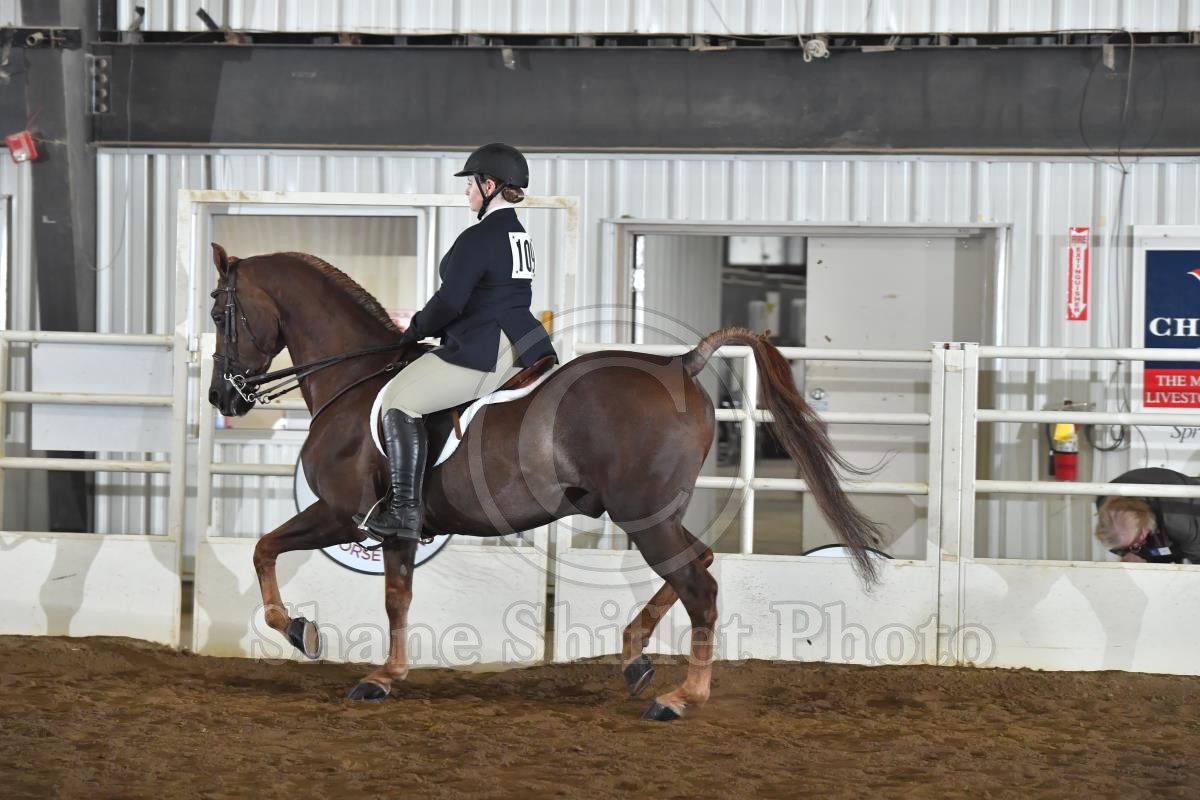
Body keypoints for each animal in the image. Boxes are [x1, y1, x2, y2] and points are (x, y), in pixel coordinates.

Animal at [205, 243, 884, 721]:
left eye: (217, 310)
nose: (222, 398)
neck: (356, 379)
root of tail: (681, 365)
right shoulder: (396, 529)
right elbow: (396, 597)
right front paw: (384, 678)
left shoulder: (344, 512)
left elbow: (264, 548)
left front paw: (300, 630)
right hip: (655, 514)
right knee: (700, 564)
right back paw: (634, 657)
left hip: (643, 517)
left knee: (701, 585)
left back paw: (679, 697)